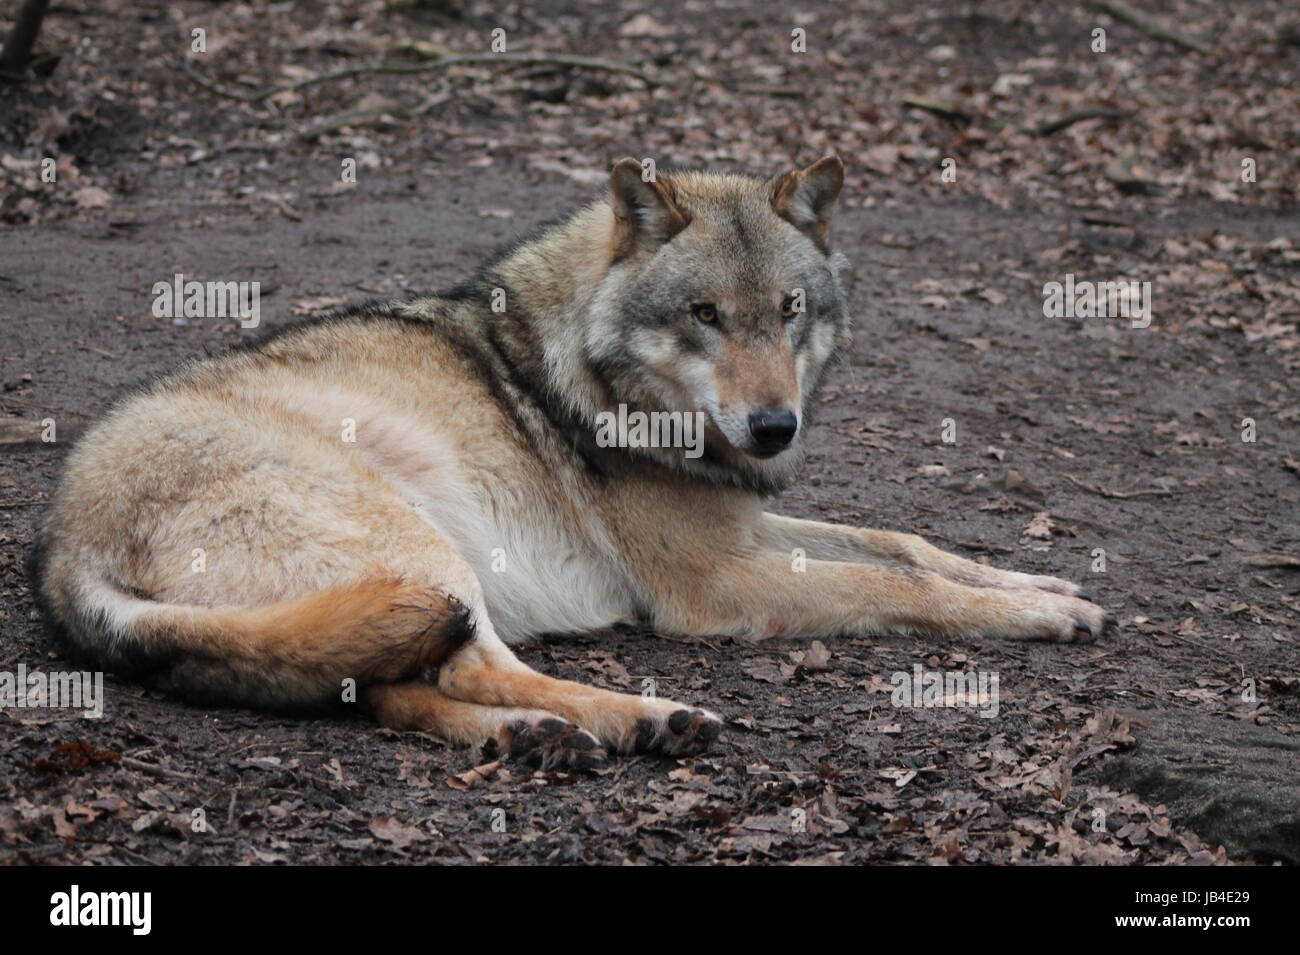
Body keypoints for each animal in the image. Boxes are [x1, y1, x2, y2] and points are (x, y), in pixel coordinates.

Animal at [30, 156, 1113, 769]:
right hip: (422, 546)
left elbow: (907, 543)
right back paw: (643, 719)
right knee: (475, 664)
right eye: (705, 314)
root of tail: (60, 550)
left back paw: (532, 741)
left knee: (391, 687)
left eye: (790, 311)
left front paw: (1043, 582)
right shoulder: (716, 581)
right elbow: (901, 586)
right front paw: (1043, 616)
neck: (589, 372)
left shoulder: (750, 521)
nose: (775, 428)